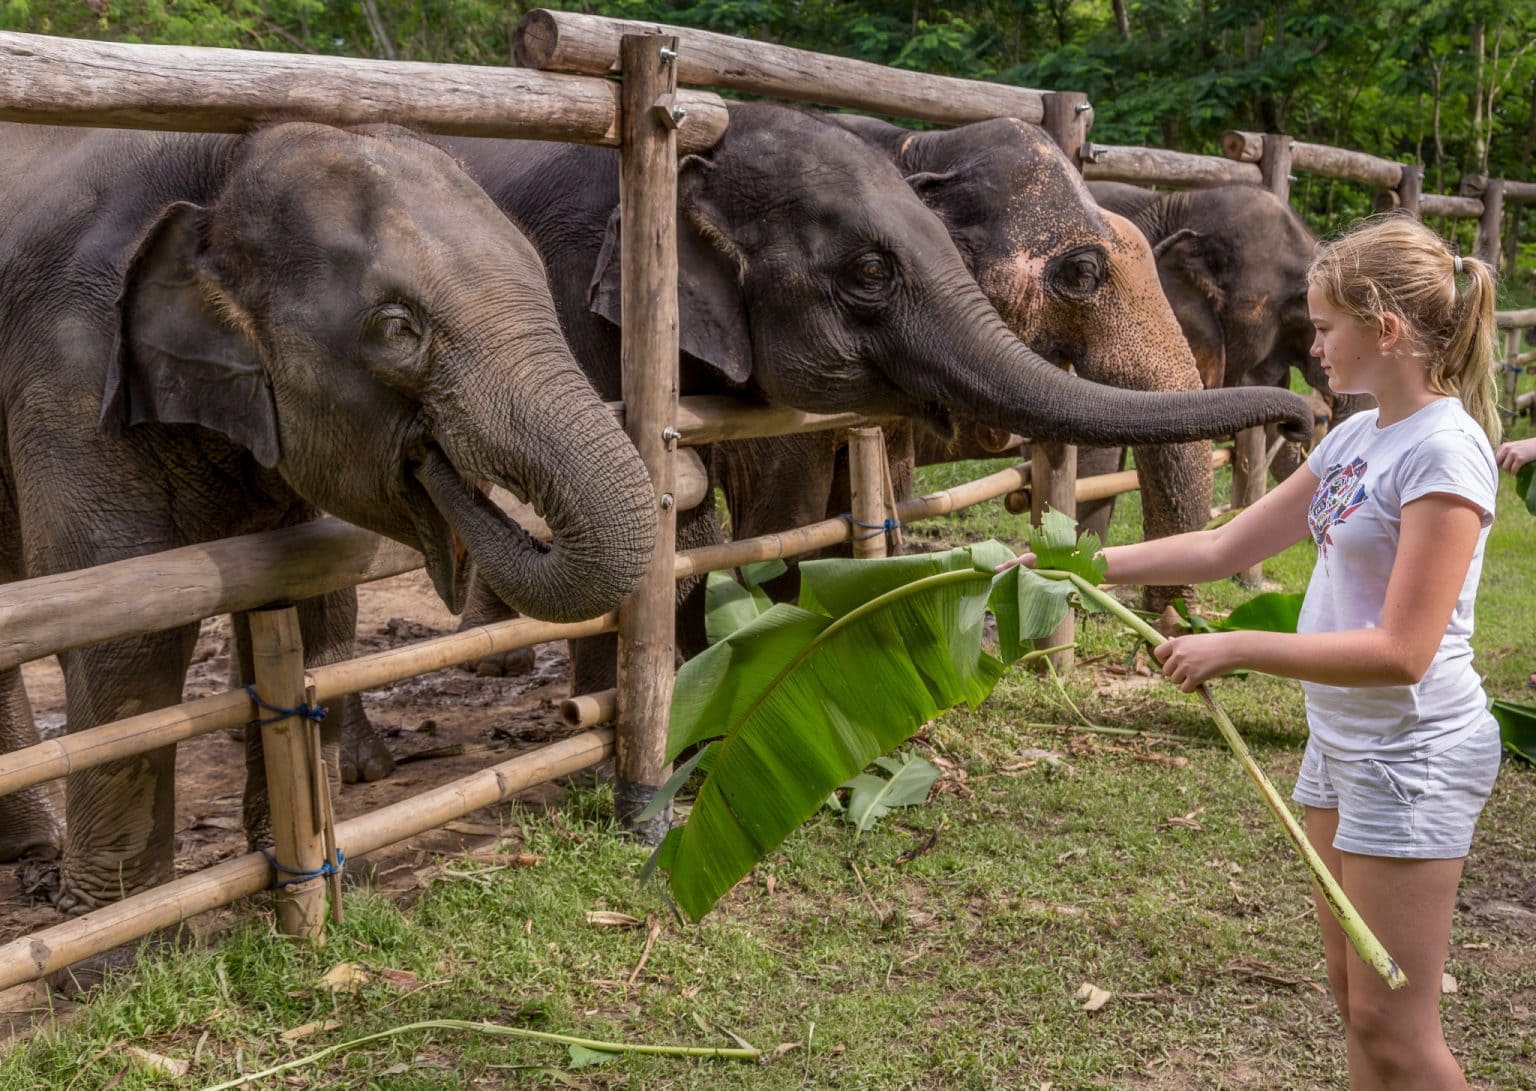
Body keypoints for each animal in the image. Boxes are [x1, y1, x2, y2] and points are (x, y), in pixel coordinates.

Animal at [0, 121, 657, 911]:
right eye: (397, 328)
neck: (218, 167)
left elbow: (313, 596)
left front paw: (290, 880)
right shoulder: (68, 368)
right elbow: (125, 623)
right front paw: (122, 934)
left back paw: (33, 847)